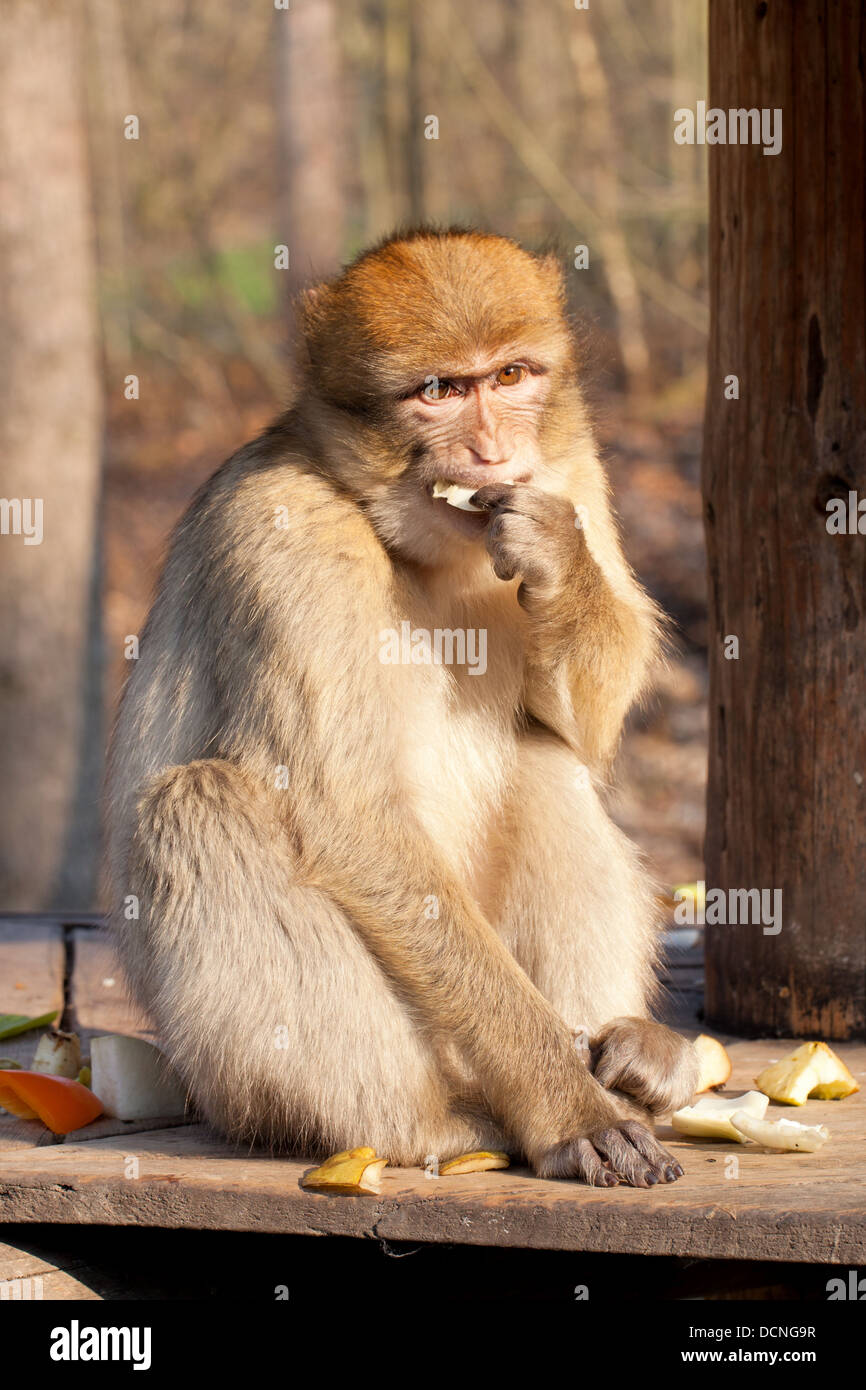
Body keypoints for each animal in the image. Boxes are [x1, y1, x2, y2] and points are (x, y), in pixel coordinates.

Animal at [106, 227, 698, 1188]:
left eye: (510, 376)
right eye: (440, 392)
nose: (492, 454)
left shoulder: (572, 468)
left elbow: (584, 732)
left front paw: (557, 558)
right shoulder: (285, 530)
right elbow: (349, 815)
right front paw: (564, 1103)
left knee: (544, 757)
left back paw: (628, 1057)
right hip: (260, 1078)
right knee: (201, 803)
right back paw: (432, 1124)